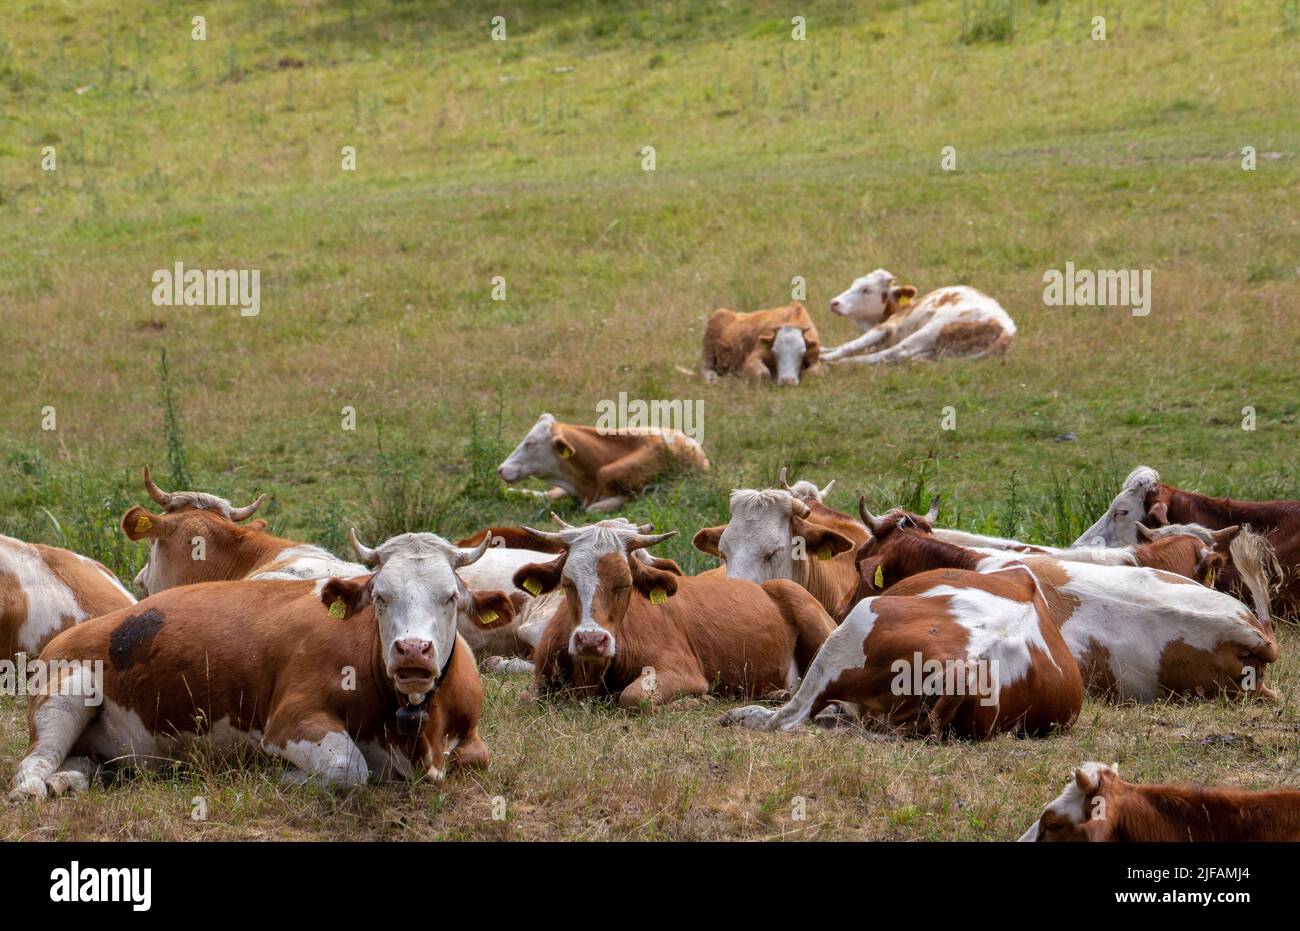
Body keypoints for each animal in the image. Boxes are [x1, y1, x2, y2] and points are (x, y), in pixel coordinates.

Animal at [512, 515, 835, 709]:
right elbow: (526, 697)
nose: (591, 640)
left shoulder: (682, 672)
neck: (588, 675)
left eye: (625, 584)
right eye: (567, 583)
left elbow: (633, 697)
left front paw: (696, 702)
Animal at [821, 269, 1015, 364]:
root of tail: (1007, 328)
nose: (834, 302)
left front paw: (826, 356)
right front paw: (822, 349)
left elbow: (849, 345)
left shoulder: (887, 327)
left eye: (866, 290)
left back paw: (840, 363)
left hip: (931, 329)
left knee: (895, 353)